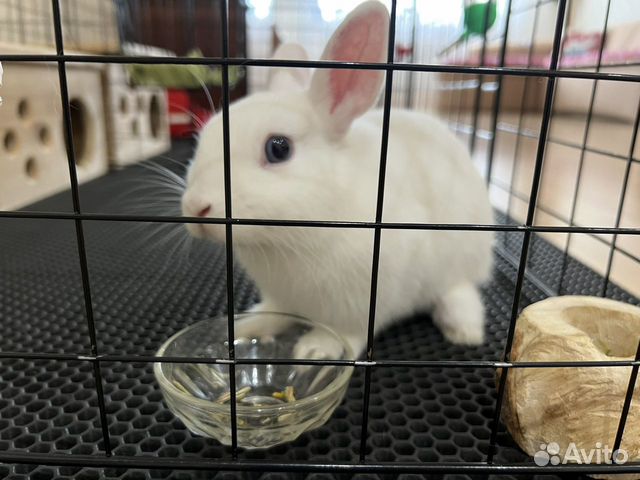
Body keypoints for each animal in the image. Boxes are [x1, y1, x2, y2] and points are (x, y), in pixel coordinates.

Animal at [181, 0, 494, 359]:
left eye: (278, 148)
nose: (196, 207)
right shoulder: (282, 296)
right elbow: (276, 314)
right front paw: (250, 325)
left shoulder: (370, 299)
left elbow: (349, 332)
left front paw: (316, 351)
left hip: (461, 257)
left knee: (459, 288)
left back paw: (464, 330)